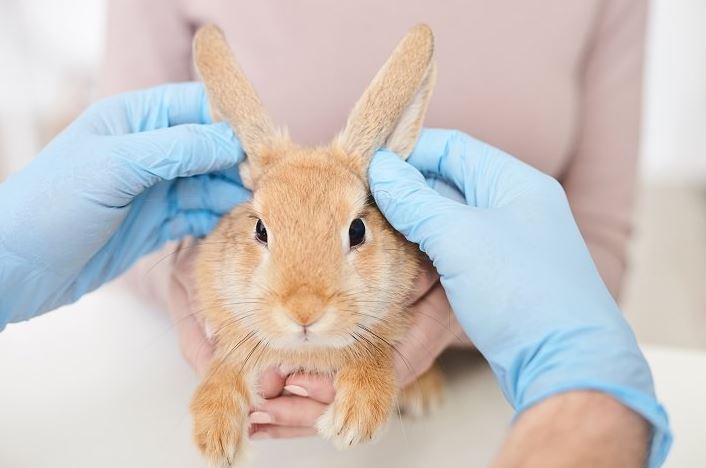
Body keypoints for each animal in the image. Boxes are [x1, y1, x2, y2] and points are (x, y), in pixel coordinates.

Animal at [190, 23, 443, 467]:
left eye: (357, 230)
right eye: (260, 229)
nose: (304, 311)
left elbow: (373, 350)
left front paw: (355, 420)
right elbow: (227, 363)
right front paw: (215, 436)